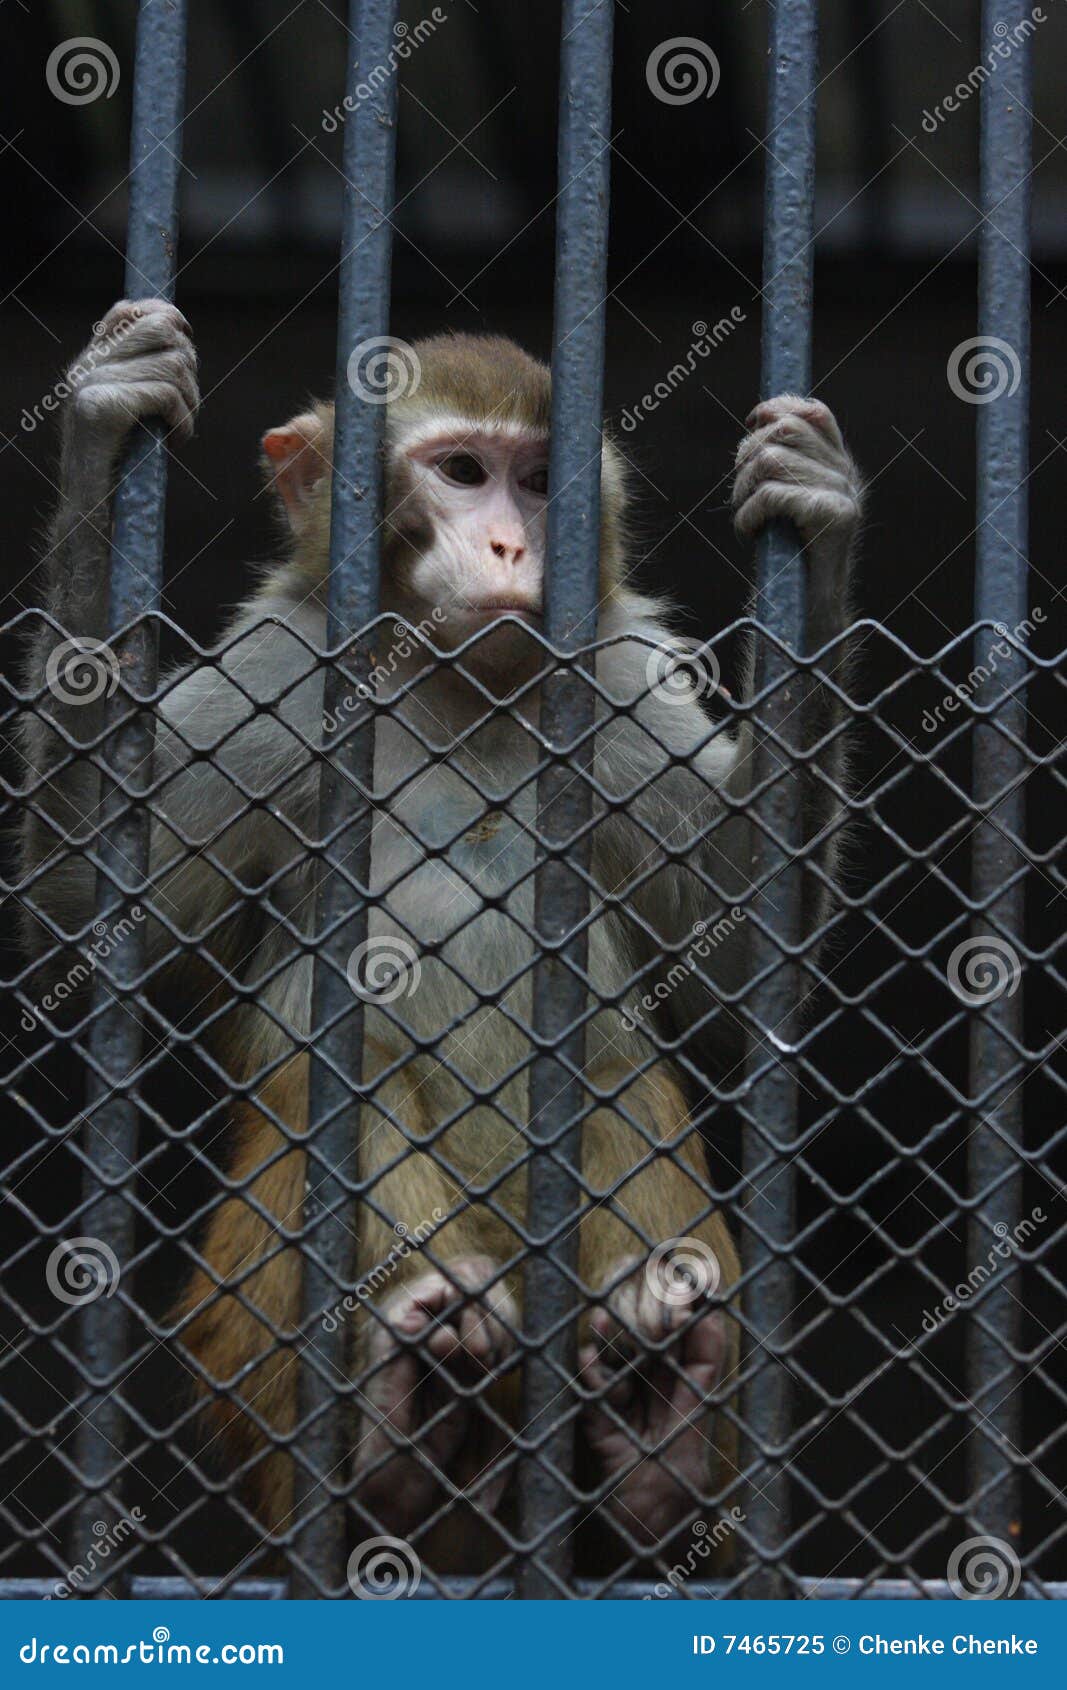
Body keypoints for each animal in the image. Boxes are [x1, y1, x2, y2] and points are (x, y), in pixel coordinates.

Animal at [16, 299, 862, 1570]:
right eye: (461, 471)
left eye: (541, 481)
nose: (512, 549)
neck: (463, 683)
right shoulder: (279, 676)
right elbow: (83, 924)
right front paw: (104, 425)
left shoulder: (615, 680)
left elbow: (741, 955)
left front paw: (809, 510)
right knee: (349, 1078)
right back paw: (406, 1444)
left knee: (609, 1075)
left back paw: (655, 1433)